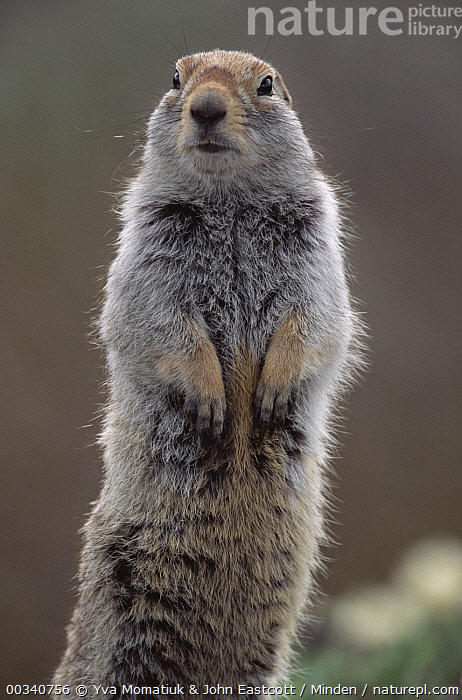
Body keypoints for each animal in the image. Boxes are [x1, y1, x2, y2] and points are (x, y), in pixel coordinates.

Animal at [53, 49, 360, 695]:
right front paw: (211, 402)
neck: (230, 201)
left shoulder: (317, 246)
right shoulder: (148, 250)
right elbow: (163, 323)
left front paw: (272, 393)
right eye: (176, 78)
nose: (207, 107)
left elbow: (317, 318)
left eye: (266, 84)